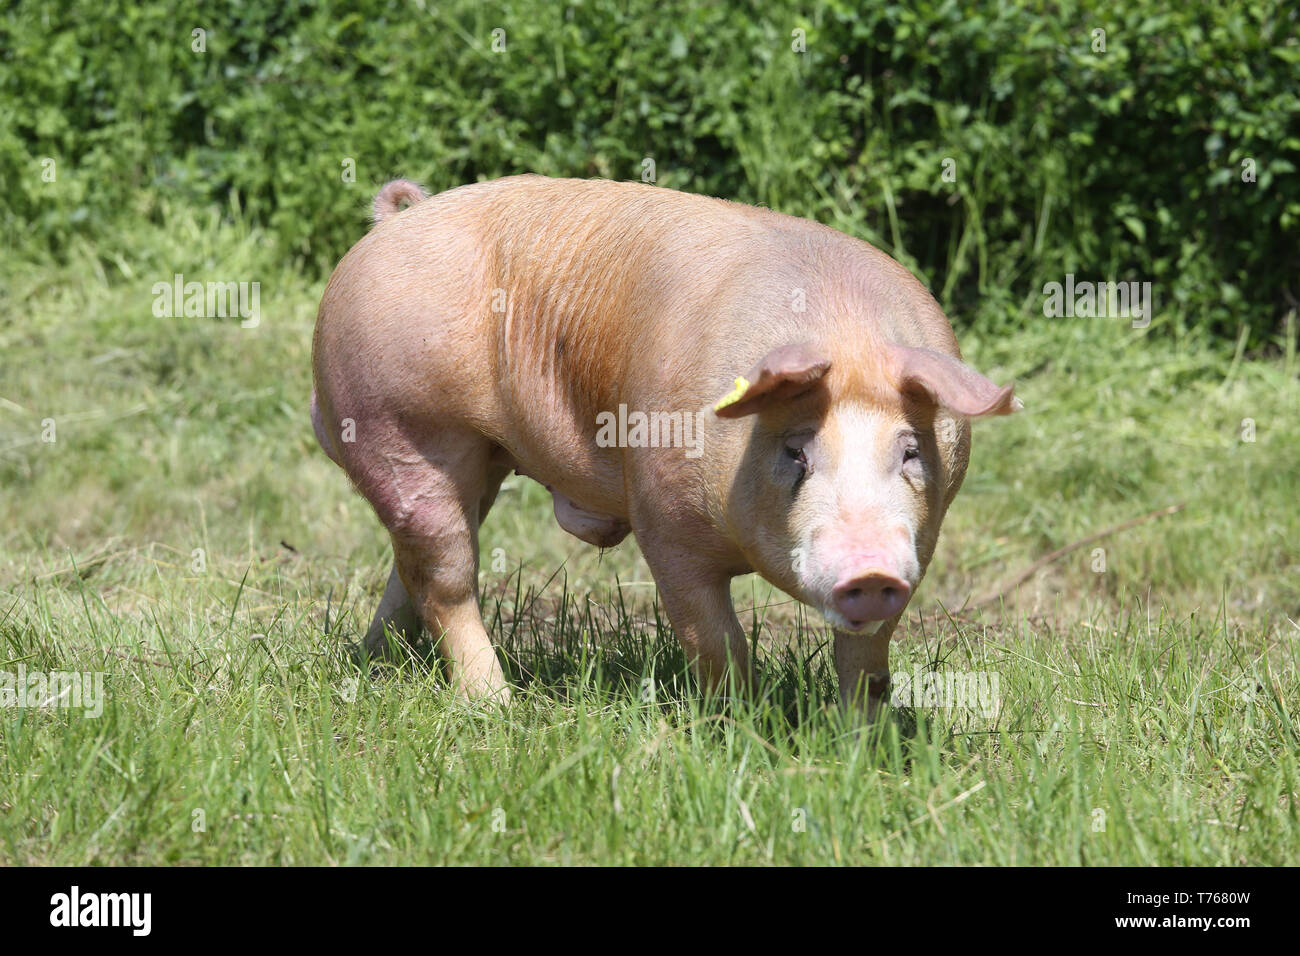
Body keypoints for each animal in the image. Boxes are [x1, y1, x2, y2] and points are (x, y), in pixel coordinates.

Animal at [311, 175, 1021, 717]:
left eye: (909, 452)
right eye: (797, 452)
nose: (870, 571)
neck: (846, 334)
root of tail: (396, 218)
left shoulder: (921, 544)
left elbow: (867, 661)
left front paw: (859, 743)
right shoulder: (665, 519)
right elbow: (716, 642)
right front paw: (743, 730)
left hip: (475, 457)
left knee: (410, 564)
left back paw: (378, 660)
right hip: (398, 426)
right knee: (445, 572)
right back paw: (496, 707)